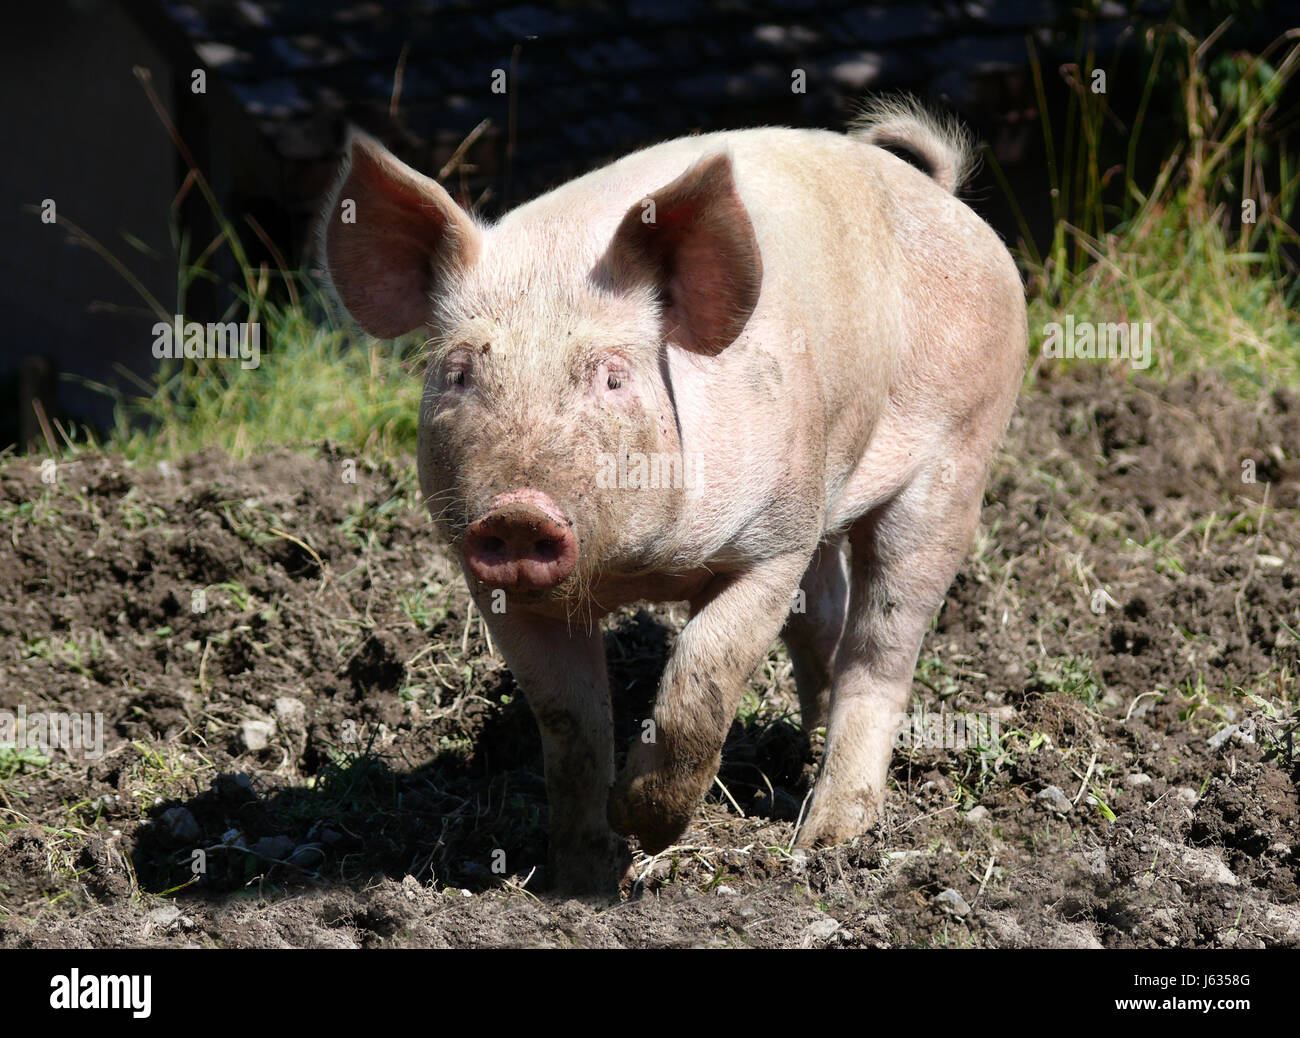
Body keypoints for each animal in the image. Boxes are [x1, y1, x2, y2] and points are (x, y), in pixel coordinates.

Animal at [325, 96, 1026, 894]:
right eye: (459, 373)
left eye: (612, 376)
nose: (519, 510)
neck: (637, 568)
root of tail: (943, 198)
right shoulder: (497, 587)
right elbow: (570, 721)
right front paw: (582, 876)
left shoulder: (773, 538)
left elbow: (705, 674)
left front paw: (645, 825)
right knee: (825, 622)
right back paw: (799, 765)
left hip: (958, 458)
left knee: (881, 647)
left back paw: (827, 842)